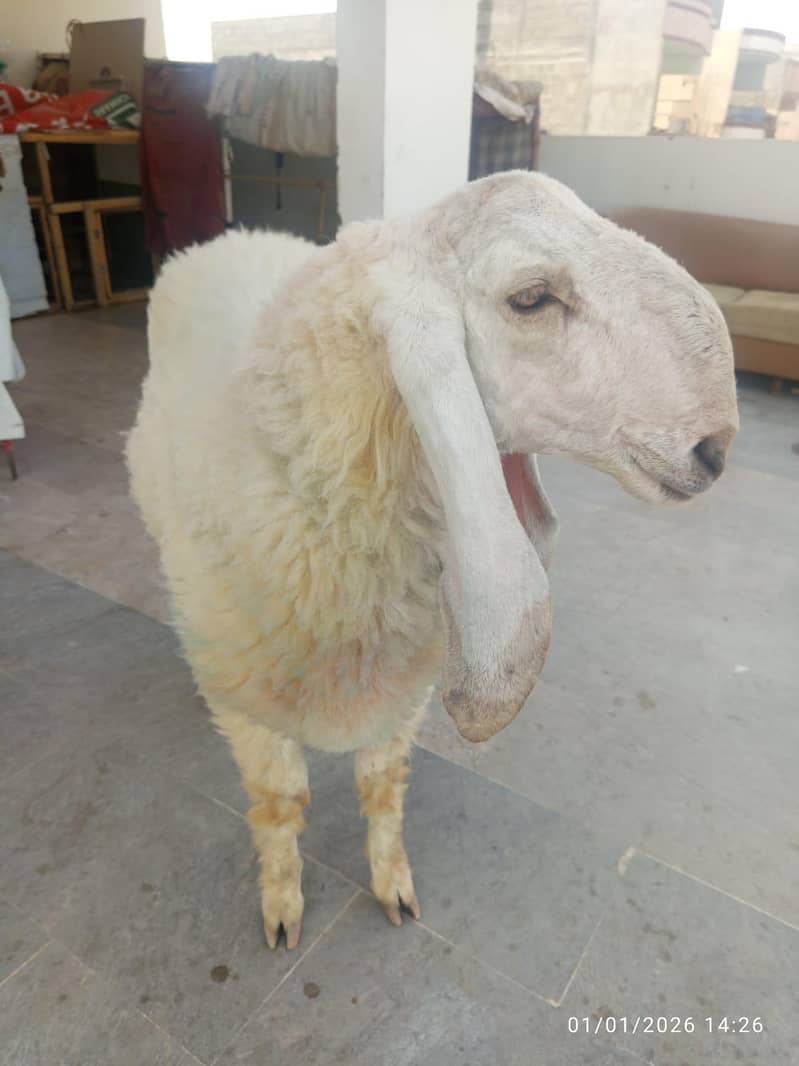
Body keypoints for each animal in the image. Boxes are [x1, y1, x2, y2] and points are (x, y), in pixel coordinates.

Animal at [127, 171, 739, 950]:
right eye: (531, 298)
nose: (715, 449)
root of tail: (231, 235)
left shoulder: (402, 694)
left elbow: (381, 785)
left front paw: (391, 883)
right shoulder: (252, 707)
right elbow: (281, 801)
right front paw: (283, 900)